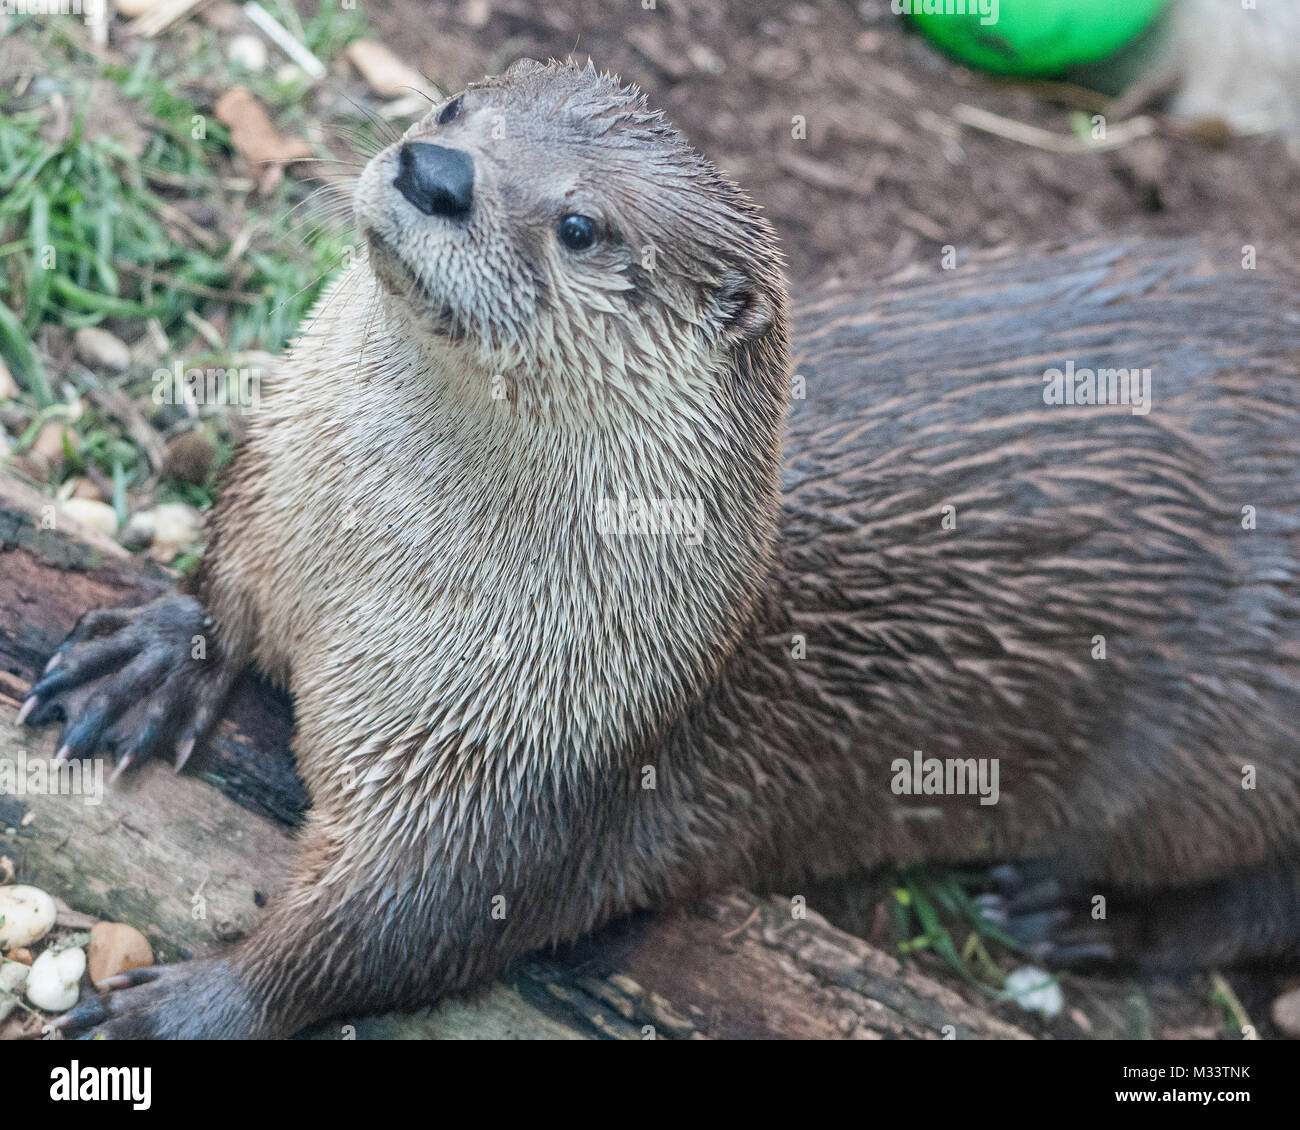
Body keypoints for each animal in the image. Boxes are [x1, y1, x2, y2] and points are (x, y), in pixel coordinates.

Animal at [19, 60, 1300, 1038]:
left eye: (582, 226)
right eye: (455, 107)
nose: (435, 170)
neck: (371, 583)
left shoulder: (522, 774)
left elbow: (387, 932)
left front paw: (194, 1002)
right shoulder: (280, 500)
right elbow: (224, 571)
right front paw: (154, 652)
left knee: (1253, 900)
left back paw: (1070, 910)